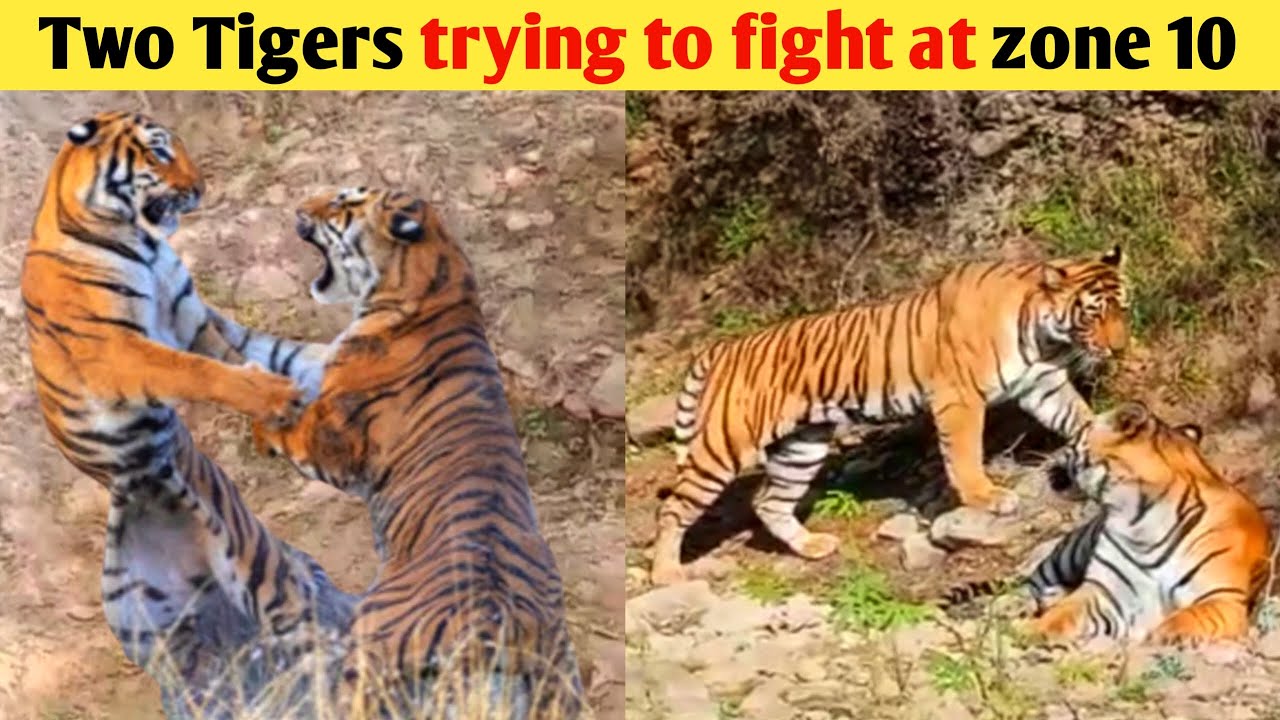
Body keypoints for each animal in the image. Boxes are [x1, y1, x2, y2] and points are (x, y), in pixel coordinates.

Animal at [19, 110, 354, 710]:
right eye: (158, 153)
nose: (200, 188)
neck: (135, 240)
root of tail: (141, 485)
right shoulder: (119, 352)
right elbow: (196, 370)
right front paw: (275, 396)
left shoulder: (194, 319)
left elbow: (258, 351)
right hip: (138, 619)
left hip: (236, 552)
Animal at [238, 187, 584, 717]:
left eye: (342, 203)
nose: (299, 207)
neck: (437, 278)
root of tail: (494, 633)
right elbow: (282, 353)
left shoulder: (330, 443)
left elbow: (285, 421)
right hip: (561, 687)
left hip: (371, 645)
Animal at [652, 248, 1129, 585]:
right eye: (1093, 314)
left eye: (1123, 306)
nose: (1120, 347)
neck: (1040, 333)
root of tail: (723, 347)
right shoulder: (959, 399)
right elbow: (965, 455)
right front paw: (987, 497)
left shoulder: (1043, 385)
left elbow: (1081, 418)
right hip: (724, 446)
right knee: (675, 507)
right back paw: (666, 573)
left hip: (802, 446)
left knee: (769, 501)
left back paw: (812, 546)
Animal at [941, 402, 1270, 644]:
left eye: (1075, 435)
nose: (1046, 457)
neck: (1140, 521)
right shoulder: (1104, 591)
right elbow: (1063, 614)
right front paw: (1031, 629)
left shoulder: (1223, 599)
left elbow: (1186, 618)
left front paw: (1161, 634)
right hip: (1069, 552)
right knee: (1031, 582)